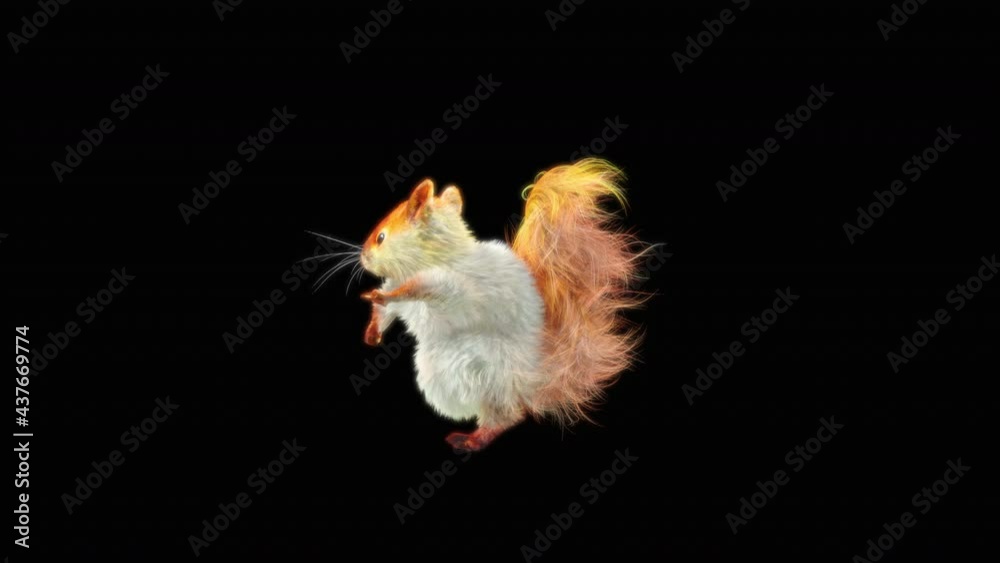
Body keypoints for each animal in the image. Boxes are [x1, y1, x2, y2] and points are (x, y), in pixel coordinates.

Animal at [358, 158, 649, 452]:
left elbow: (421, 289)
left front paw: (387, 295)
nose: (363, 257)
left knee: (508, 415)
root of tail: (535, 376)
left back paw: (476, 438)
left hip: (487, 374)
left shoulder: (450, 283)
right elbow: (386, 312)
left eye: (381, 237)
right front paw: (373, 332)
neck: (435, 255)